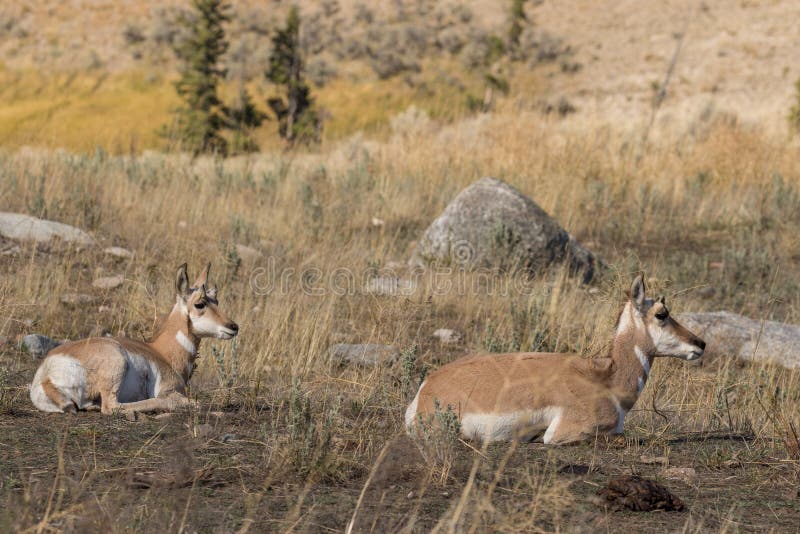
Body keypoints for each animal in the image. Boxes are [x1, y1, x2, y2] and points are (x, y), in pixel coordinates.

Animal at [29, 263, 238, 415]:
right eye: (200, 303)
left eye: (216, 300)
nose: (233, 326)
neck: (162, 353)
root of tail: (46, 373)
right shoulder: (169, 389)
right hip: (118, 363)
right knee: (112, 407)